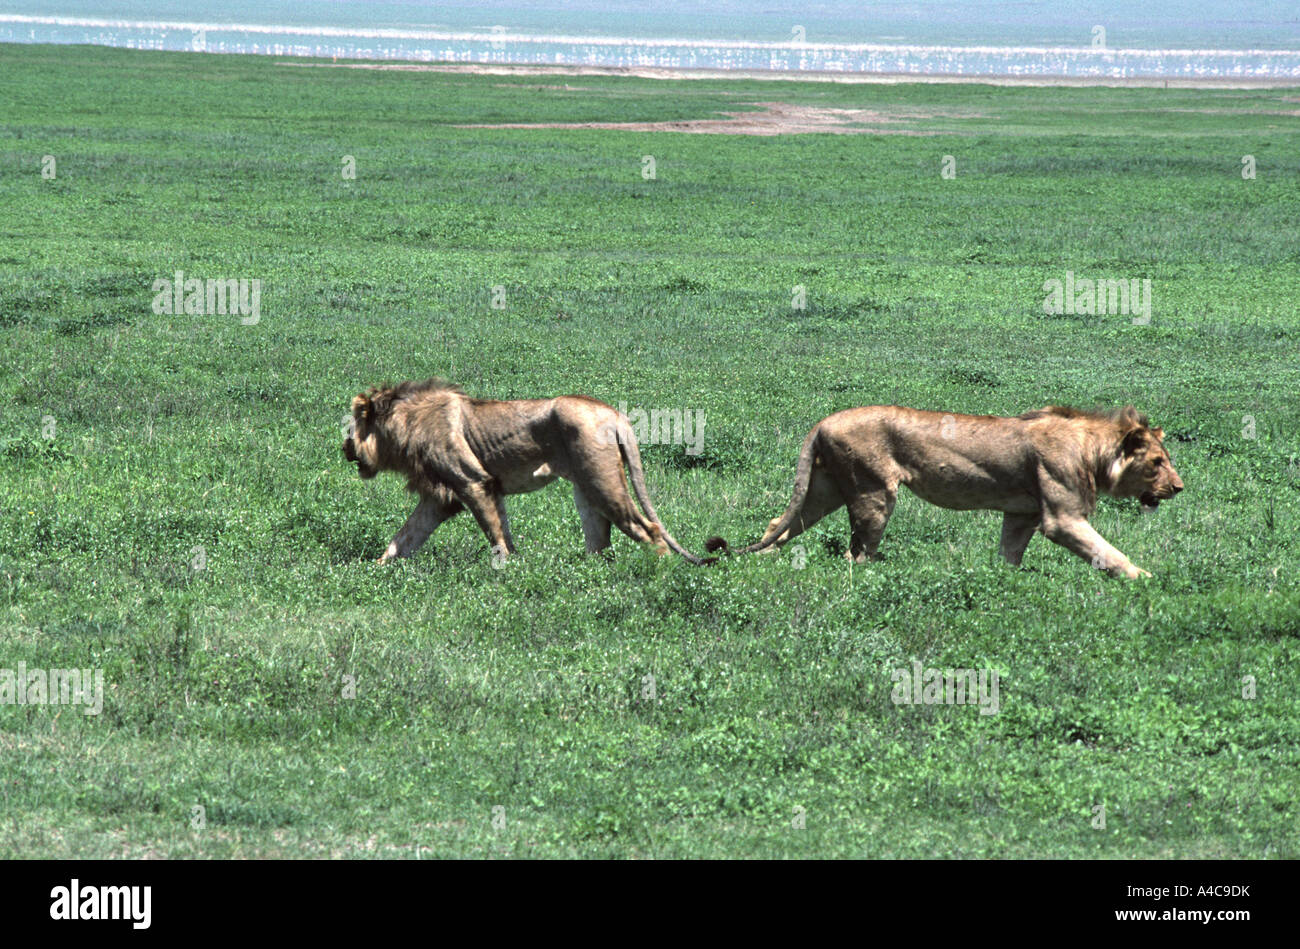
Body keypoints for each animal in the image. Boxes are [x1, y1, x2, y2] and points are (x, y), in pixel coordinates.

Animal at [342, 379, 710, 565]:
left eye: (349, 428)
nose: (343, 449)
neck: (403, 427)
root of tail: (615, 414)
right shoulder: (441, 497)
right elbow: (403, 539)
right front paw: (375, 572)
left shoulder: (473, 483)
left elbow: (495, 536)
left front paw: (505, 575)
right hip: (586, 489)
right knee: (600, 542)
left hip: (602, 481)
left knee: (649, 530)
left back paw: (659, 576)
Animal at [715, 405, 1183, 578]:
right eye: (1157, 462)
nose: (1179, 487)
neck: (1094, 450)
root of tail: (824, 420)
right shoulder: (1062, 518)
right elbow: (1108, 552)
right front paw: (1146, 580)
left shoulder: (1022, 514)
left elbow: (1009, 553)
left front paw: (1004, 582)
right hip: (874, 493)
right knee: (856, 554)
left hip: (825, 490)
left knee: (779, 524)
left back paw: (767, 557)